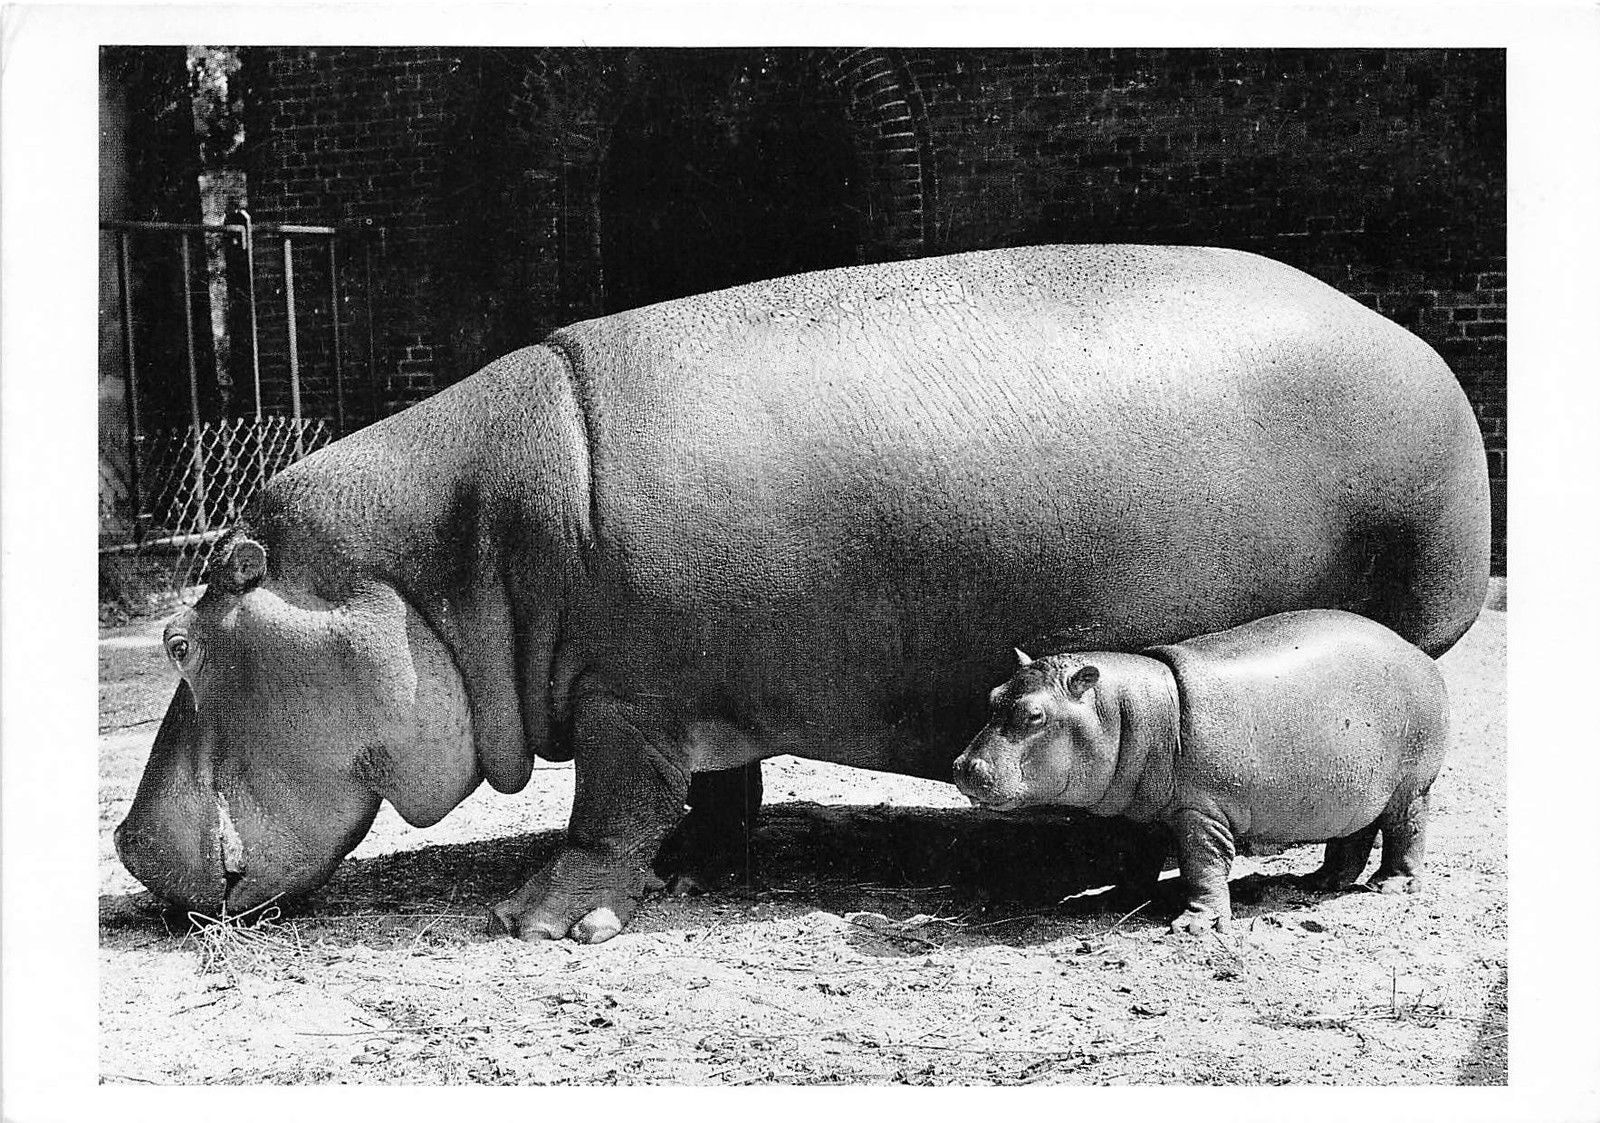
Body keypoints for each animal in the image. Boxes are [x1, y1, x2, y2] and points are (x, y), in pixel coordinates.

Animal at [952, 610, 1451, 933]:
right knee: (1353, 836)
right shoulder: (1141, 814)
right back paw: (1318, 882)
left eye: (1033, 715)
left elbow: (1203, 864)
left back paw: (1390, 887)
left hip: (1411, 785)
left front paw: (1194, 925)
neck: (1131, 710)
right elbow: (1136, 859)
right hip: (1354, 789)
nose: (961, 766)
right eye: (994, 695)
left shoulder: (1202, 812)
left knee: (1407, 829)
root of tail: (1417, 653)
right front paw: (1114, 899)